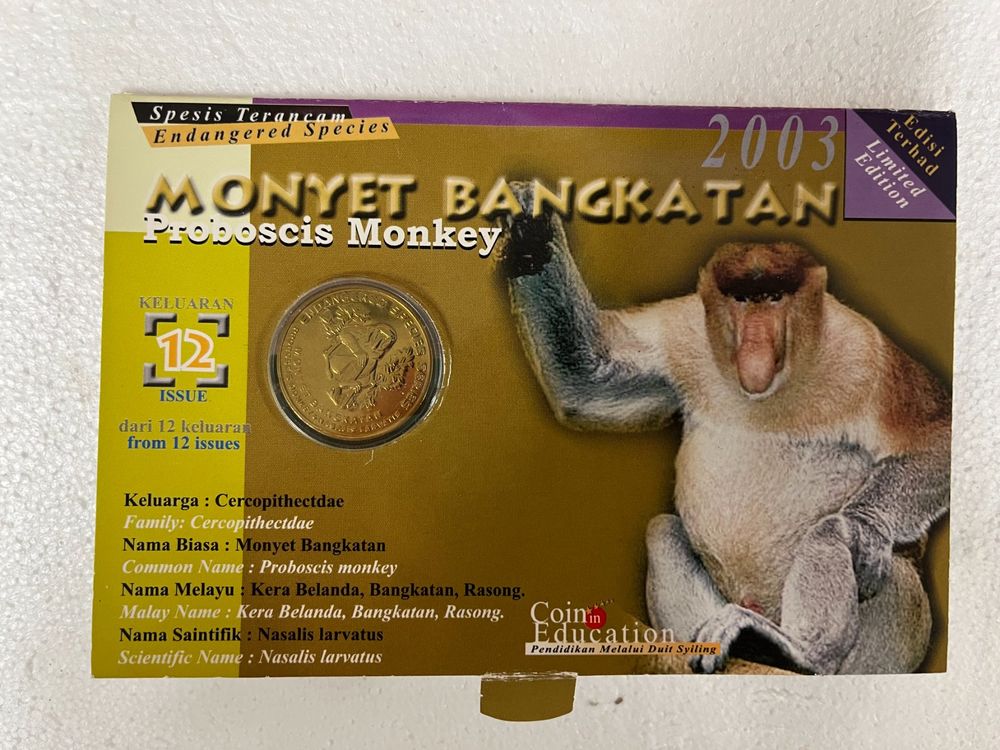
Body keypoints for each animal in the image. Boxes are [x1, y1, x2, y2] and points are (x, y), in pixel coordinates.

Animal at [496, 182, 950, 674]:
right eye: (742, 299)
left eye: (773, 297)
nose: (755, 342)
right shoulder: (684, 331)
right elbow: (589, 380)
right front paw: (530, 227)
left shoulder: (864, 351)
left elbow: (937, 438)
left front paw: (866, 528)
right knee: (661, 529)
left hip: (898, 629)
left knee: (831, 532)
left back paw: (798, 653)